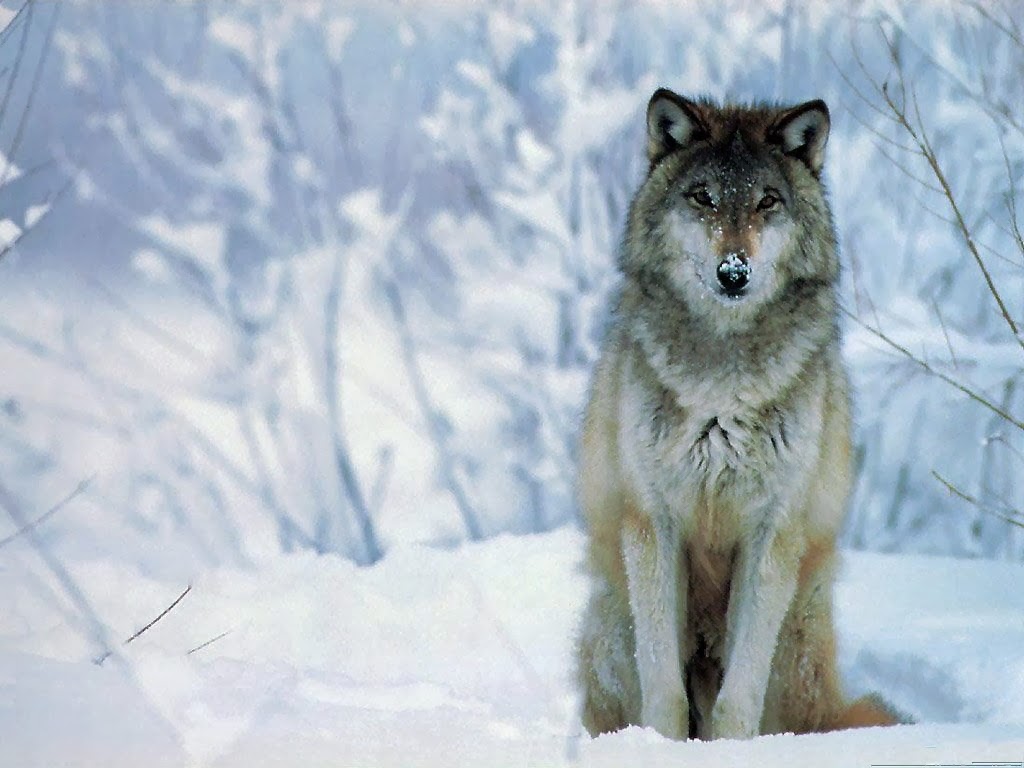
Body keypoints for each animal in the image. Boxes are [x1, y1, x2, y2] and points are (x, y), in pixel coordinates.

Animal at [575, 88, 900, 741]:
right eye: (703, 197)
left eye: (766, 201)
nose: (733, 271)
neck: (722, 387)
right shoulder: (653, 522)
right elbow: (664, 692)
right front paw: (658, 748)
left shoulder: (772, 530)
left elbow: (738, 698)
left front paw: (731, 749)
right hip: (614, 617)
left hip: (796, 636)